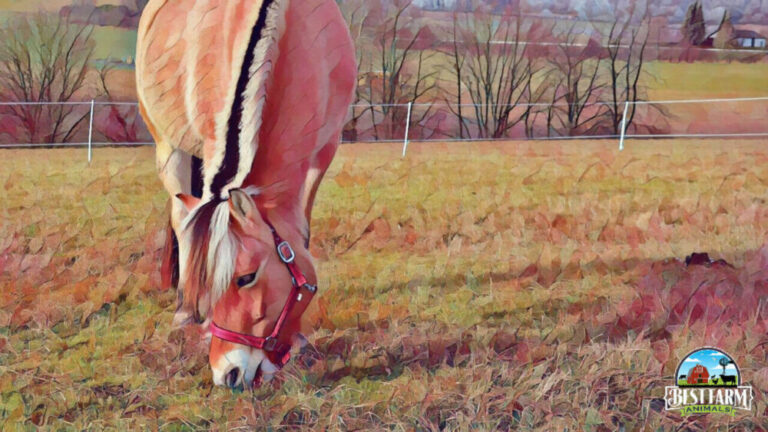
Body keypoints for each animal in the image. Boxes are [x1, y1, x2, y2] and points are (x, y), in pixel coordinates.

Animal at [135, 0, 356, 388]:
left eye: (246, 277)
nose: (228, 373)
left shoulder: (324, 152)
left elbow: (302, 232)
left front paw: (300, 338)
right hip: (168, 146)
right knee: (181, 219)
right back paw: (183, 311)